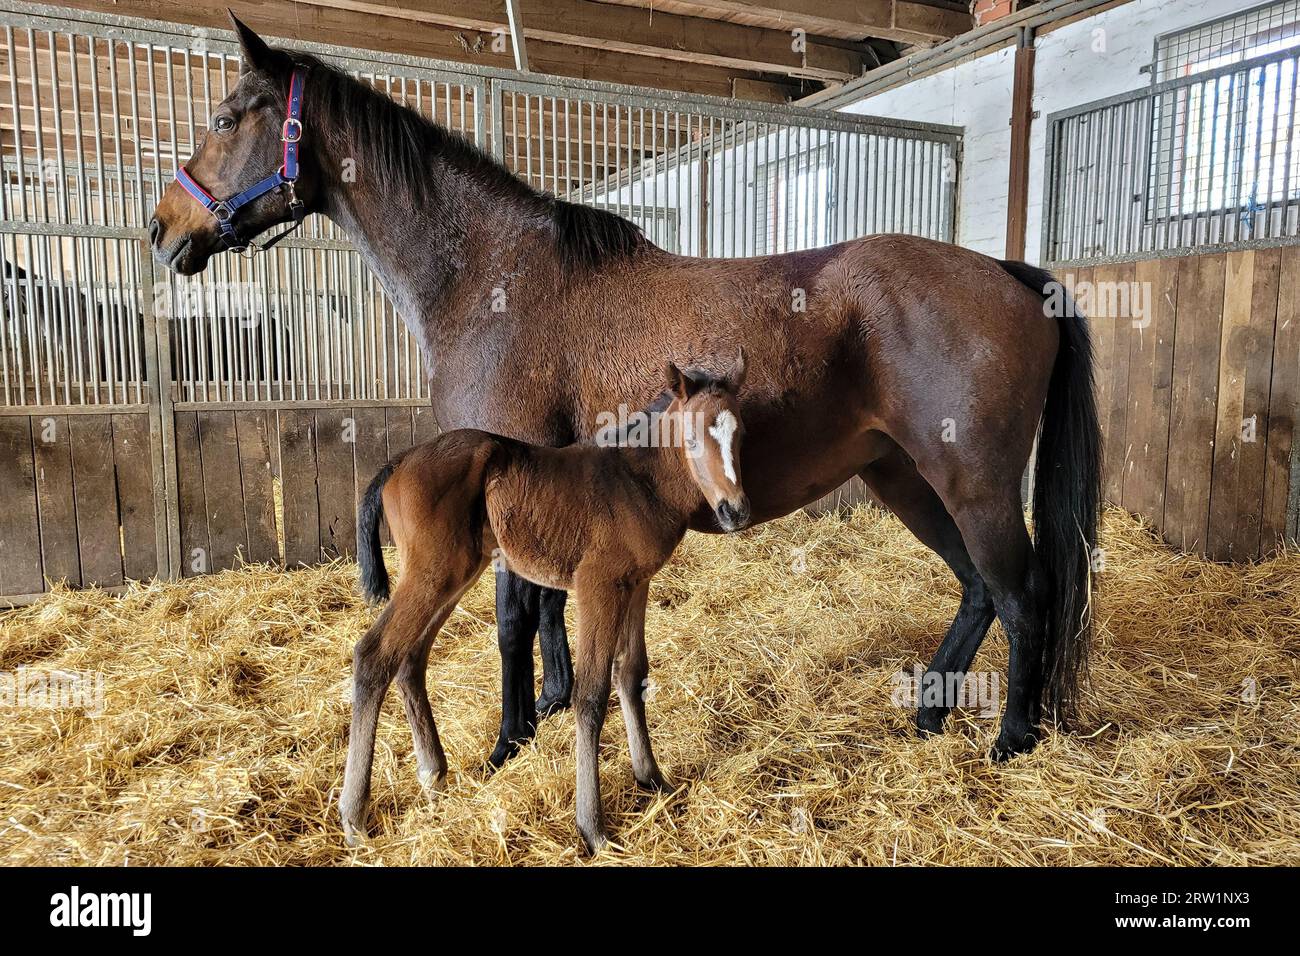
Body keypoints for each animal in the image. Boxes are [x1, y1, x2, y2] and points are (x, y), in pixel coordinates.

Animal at [149, 15, 1101, 767]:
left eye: (227, 116)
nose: (162, 229)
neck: (492, 276)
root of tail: (1013, 277)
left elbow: (512, 617)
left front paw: (508, 740)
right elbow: (547, 609)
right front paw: (552, 702)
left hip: (971, 481)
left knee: (1022, 593)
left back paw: (1012, 738)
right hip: (900, 474)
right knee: (979, 590)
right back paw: (930, 714)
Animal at [342, 356, 749, 851]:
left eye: (740, 434)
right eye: (691, 436)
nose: (735, 511)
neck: (637, 479)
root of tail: (398, 461)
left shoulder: (636, 584)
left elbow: (631, 674)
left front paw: (652, 780)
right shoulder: (599, 585)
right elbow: (590, 692)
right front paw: (593, 827)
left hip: (453, 574)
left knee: (410, 658)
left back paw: (433, 775)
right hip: (432, 574)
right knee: (374, 655)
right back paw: (354, 817)